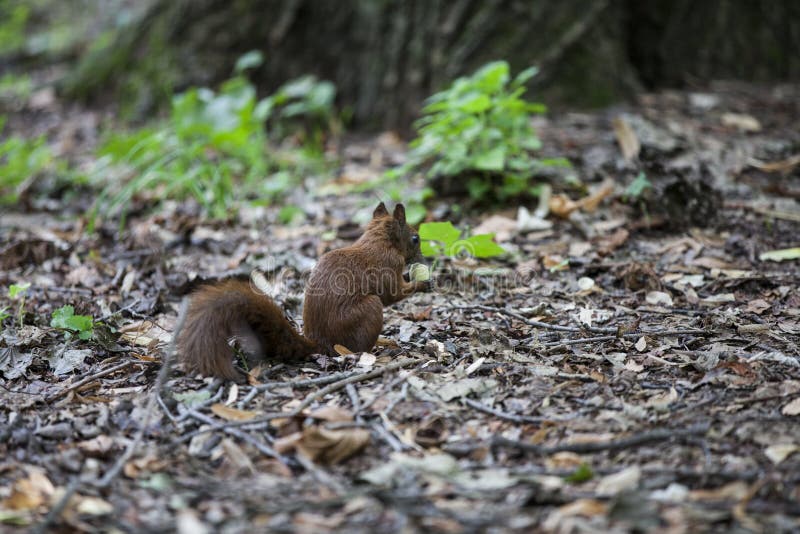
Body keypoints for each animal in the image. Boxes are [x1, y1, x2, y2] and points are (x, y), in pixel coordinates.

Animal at [173, 202, 428, 381]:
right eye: (415, 238)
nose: (423, 258)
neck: (379, 241)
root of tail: (321, 344)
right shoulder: (388, 266)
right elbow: (392, 295)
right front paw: (424, 282)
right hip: (369, 311)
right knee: (358, 346)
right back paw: (380, 345)